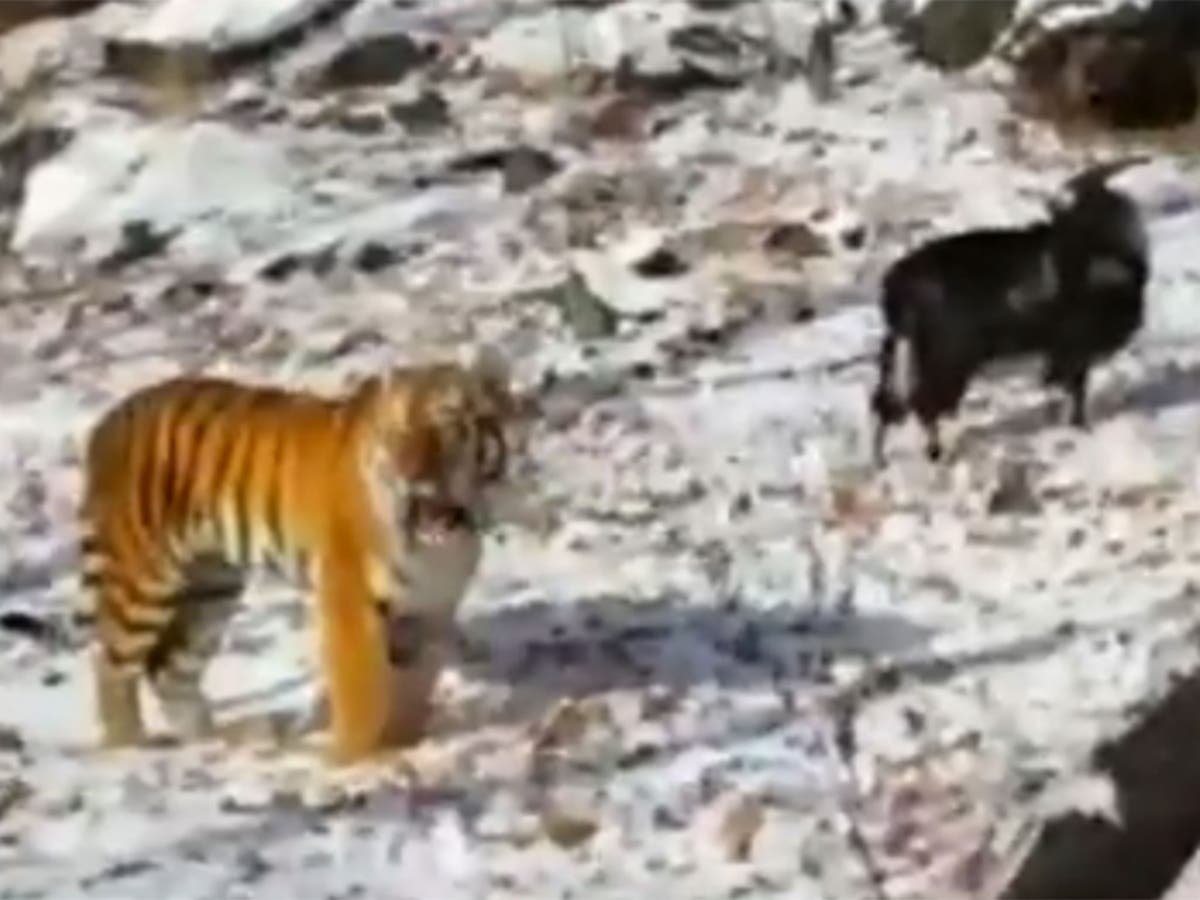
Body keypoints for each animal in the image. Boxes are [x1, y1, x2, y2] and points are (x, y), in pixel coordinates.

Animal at [78, 345, 554, 765]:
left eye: (450, 424)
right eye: (398, 434)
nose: (410, 475)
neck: (443, 544)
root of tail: (108, 420)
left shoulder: (430, 608)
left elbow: (415, 686)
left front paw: (405, 743)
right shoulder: (350, 599)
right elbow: (361, 690)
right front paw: (359, 762)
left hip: (211, 588)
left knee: (170, 671)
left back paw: (220, 742)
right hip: (145, 580)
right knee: (110, 664)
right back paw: (129, 749)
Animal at [870, 157, 1151, 464]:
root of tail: (897, 285)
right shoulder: (1072, 351)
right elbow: (1073, 392)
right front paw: (1078, 429)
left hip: (909, 355)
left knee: (889, 404)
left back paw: (884, 459)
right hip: (947, 358)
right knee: (923, 404)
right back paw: (936, 453)